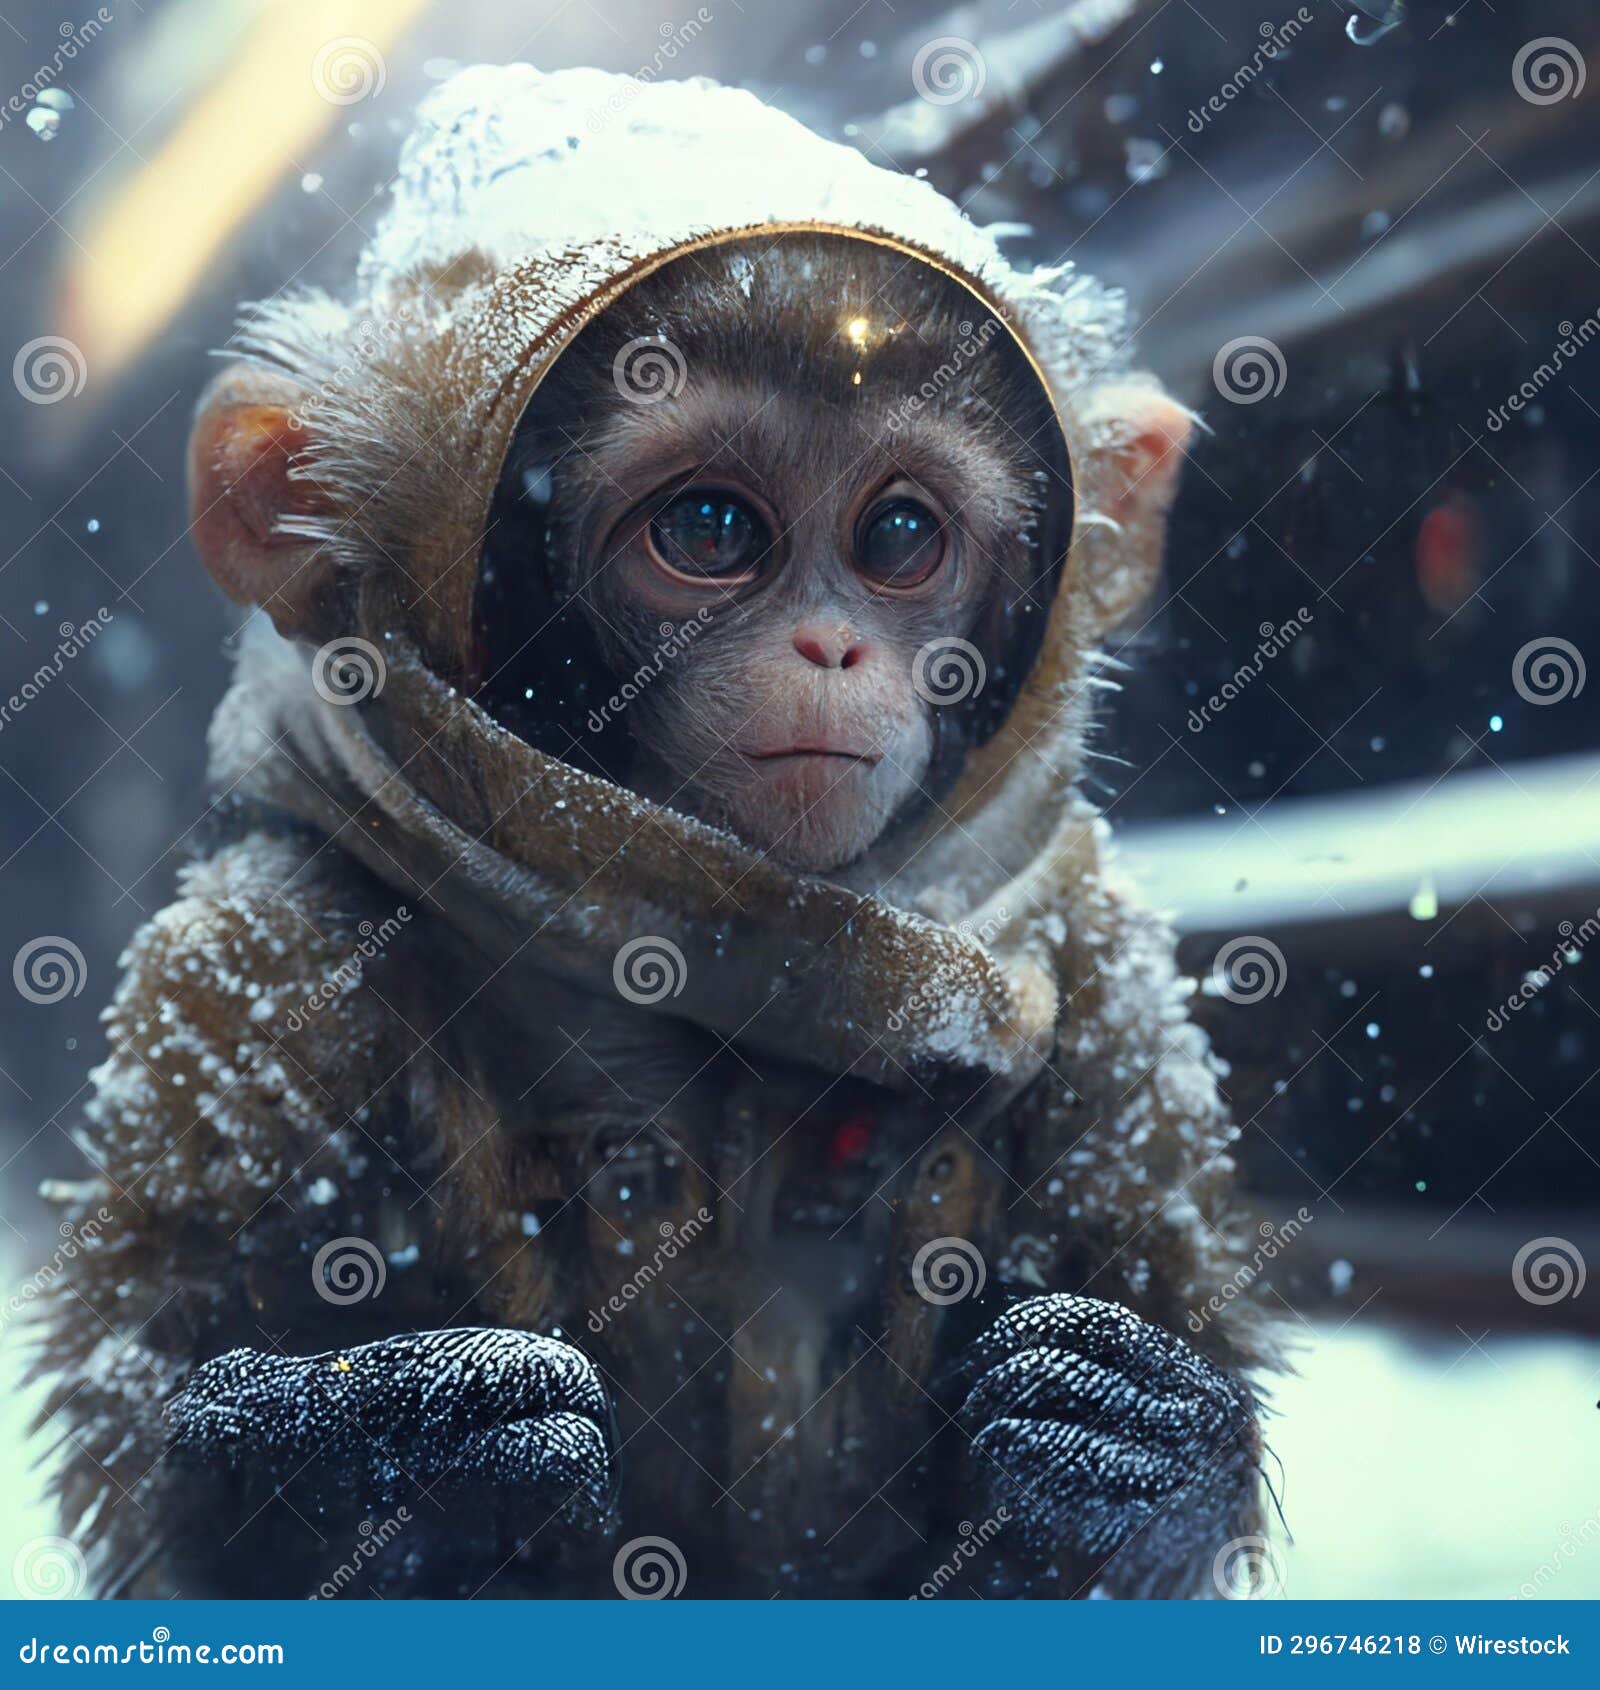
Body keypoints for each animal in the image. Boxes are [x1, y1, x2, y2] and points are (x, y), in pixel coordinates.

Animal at [31, 65, 1274, 1600]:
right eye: (709, 528)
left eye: (900, 536)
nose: (829, 648)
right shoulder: (254, 956)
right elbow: (148, 1417)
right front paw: (369, 1458)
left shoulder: (1090, 950)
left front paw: (1131, 1443)